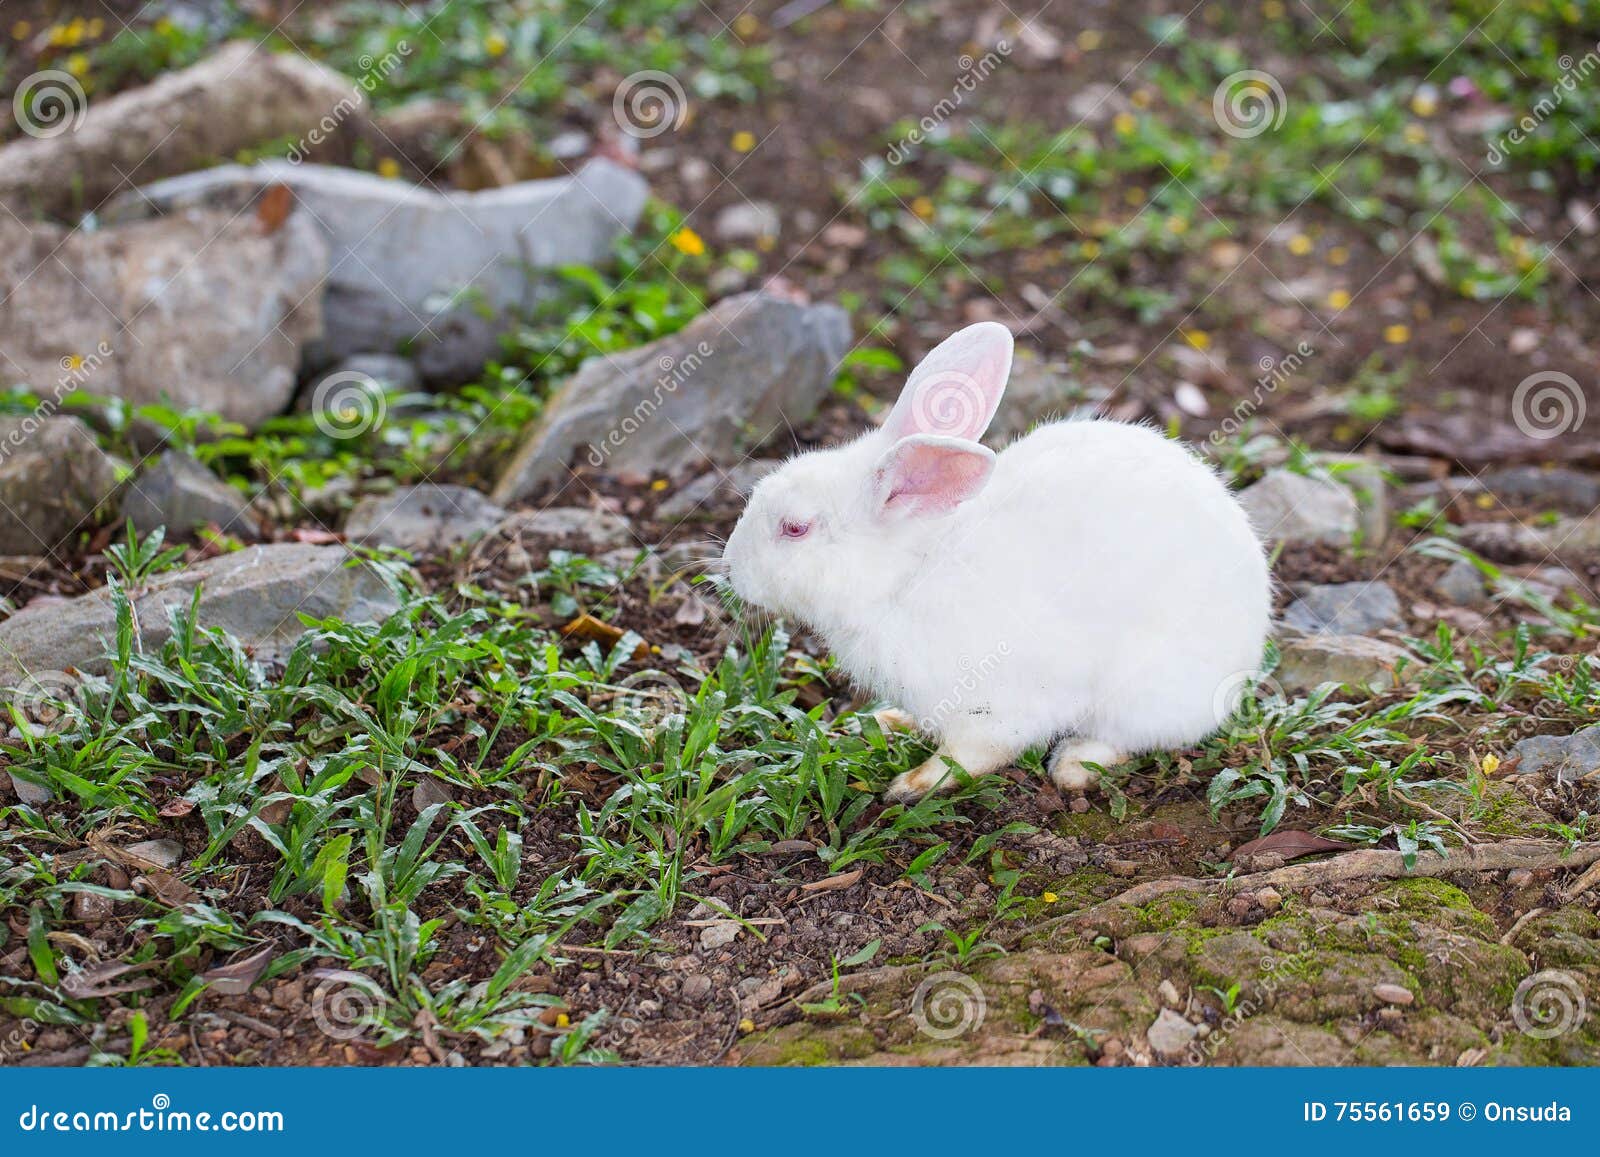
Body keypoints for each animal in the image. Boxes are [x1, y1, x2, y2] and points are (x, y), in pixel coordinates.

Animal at [721, 321, 1272, 801]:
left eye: (795, 528)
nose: (729, 569)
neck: (906, 574)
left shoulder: (1002, 705)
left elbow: (973, 754)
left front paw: (912, 785)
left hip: (1140, 694)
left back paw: (1073, 767)